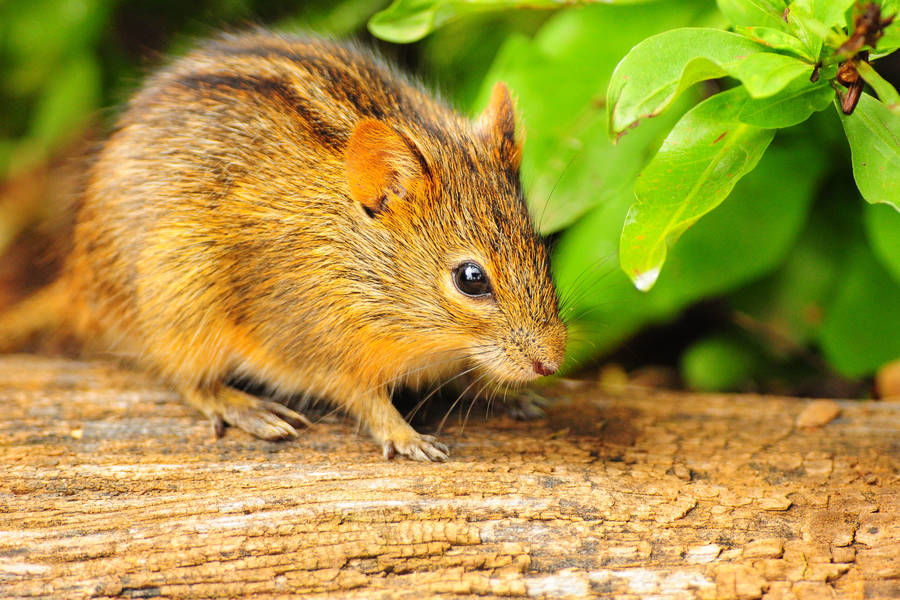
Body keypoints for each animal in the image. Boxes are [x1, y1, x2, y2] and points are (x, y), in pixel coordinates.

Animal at [0, 31, 567, 461]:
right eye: (470, 279)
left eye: (541, 245)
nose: (553, 363)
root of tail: (79, 284)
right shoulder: (320, 349)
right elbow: (366, 402)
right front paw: (411, 440)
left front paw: (512, 397)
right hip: (180, 304)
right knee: (185, 379)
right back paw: (249, 409)